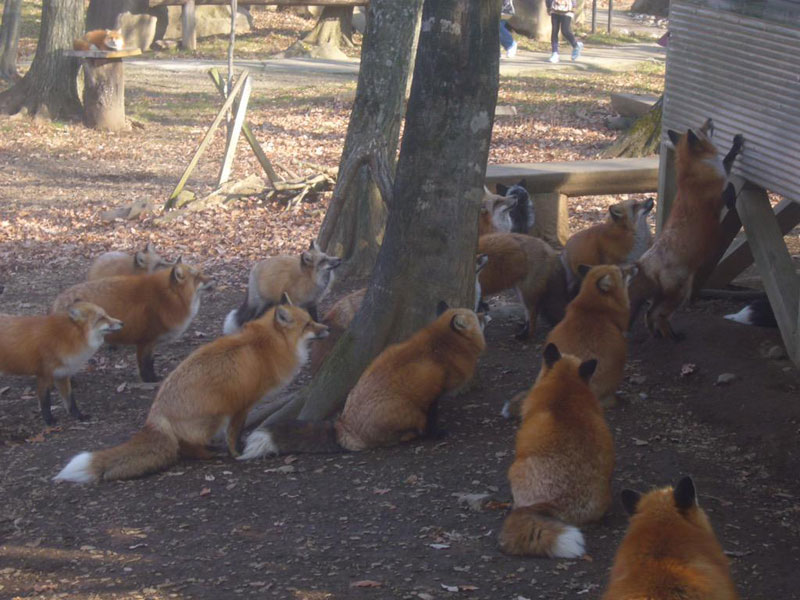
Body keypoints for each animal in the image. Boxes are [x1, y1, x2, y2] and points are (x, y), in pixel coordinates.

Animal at [52, 259, 213, 382]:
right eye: (198, 277)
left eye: (201, 272)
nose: (214, 278)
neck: (167, 298)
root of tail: (59, 300)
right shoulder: (146, 340)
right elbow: (145, 364)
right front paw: (150, 380)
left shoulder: (151, 342)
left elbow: (150, 362)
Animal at [54, 295, 329, 483]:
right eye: (308, 325)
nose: (327, 328)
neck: (267, 346)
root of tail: (155, 414)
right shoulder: (242, 404)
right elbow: (234, 434)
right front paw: (238, 453)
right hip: (215, 415)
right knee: (185, 447)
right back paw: (208, 454)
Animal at [239, 303, 487, 459]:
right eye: (475, 315)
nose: (486, 311)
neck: (442, 345)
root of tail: (344, 429)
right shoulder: (432, 393)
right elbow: (432, 421)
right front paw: (437, 434)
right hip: (408, 412)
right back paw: (408, 435)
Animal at [629, 120, 744, 339]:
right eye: (703, 129)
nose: (710, 119)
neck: (694, 171)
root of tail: (644, 263)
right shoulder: (718, 198)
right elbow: (730, 189)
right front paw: (733, 199)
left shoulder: (722, 173)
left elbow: (728, 161)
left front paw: (735, 146)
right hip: (679, 294)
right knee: (656, 314)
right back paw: (671, 337)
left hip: (672, 295)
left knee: (649, 313)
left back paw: (657, 334)